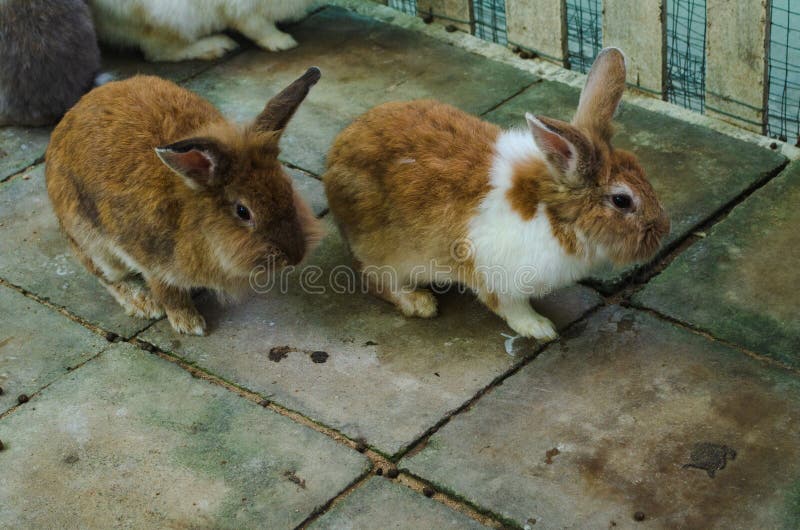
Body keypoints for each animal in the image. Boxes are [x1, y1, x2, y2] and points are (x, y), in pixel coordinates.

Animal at [45, 67, 323, 335]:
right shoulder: (154, 264)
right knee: (106, 276)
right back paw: (142, 303)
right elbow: (168, 293)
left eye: (287, 188)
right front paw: (190, 324)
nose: (295, 256)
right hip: (91, 241)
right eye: (243, 211)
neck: (193, 211)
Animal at [86, 0, 316, 62]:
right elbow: (256, 25)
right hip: (168, 18)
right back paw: (215, 46)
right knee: (157, 52)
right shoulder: (240, 7)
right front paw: (280, 42)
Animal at [323, 48, 670, 341]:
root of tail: (334, 158)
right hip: (388, 254)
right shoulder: (495, 276)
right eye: (622, 200)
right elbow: (511, 307)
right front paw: (540, 328)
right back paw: (419, 303)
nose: (663, 231)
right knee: (376, 279)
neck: (551, 214)